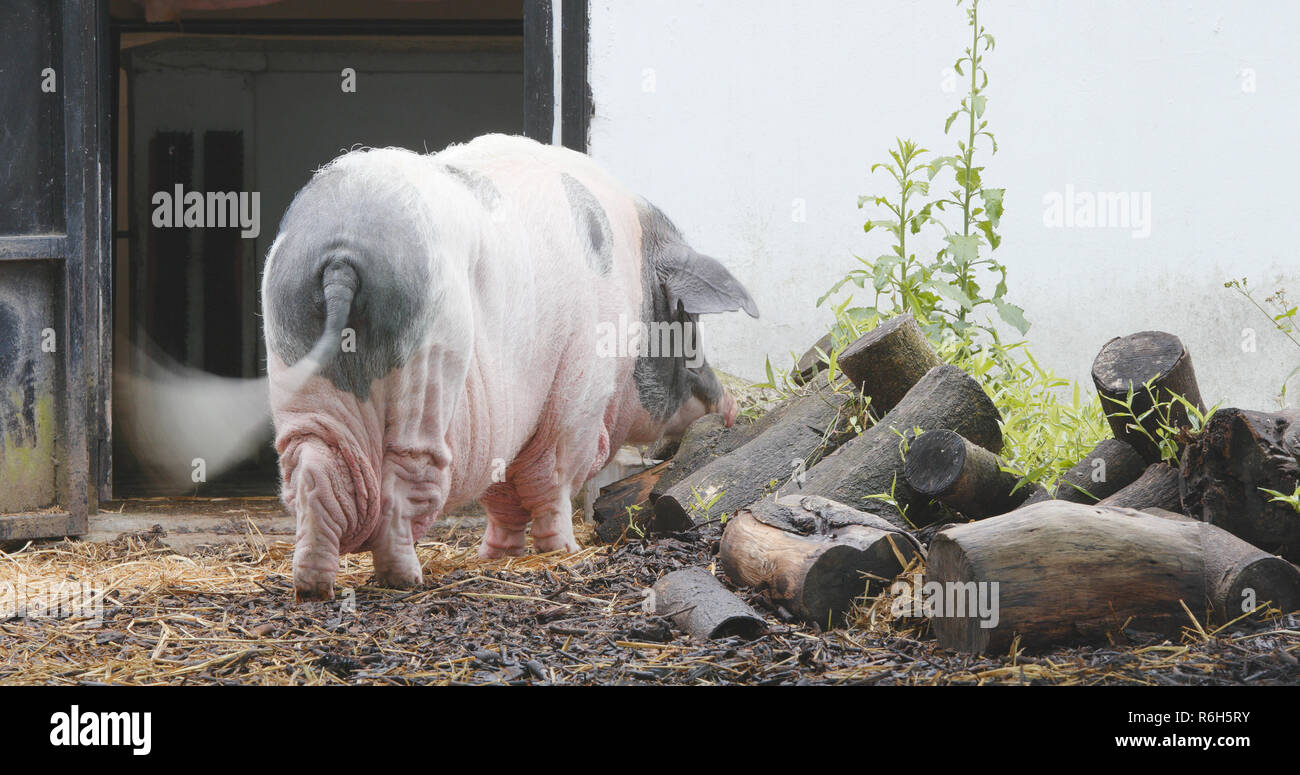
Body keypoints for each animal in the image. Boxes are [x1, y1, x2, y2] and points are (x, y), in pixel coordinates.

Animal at [261, 134, 758, 600]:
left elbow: (502, 492)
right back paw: (405, 580)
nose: (733, 408)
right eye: (688, 322)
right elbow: (553, 478)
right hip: (430, 363)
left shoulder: (507, 424)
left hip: (296, 366)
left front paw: (497, 556)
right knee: (406, 478)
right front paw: (565, 550)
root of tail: (341, 254)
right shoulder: (582, 388)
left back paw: (312, 586)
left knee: (311, 468)